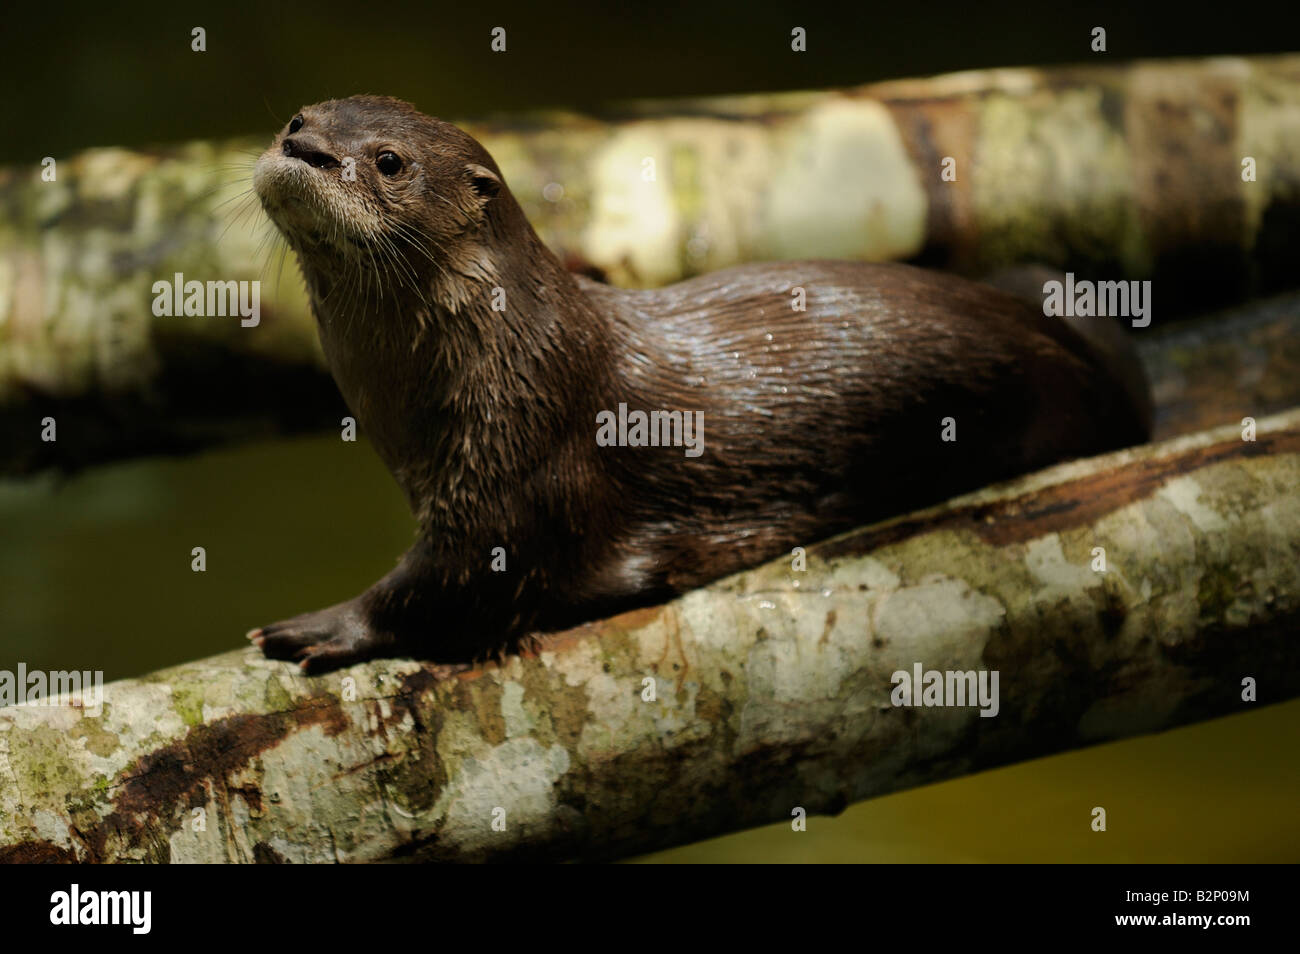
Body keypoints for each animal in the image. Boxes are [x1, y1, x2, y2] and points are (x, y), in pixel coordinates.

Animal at [248, 95, 1151, 673]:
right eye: (300, 118)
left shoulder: (516, 468)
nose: (303, 148)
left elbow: (456, 585)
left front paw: (322, 624)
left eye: (388, 162)